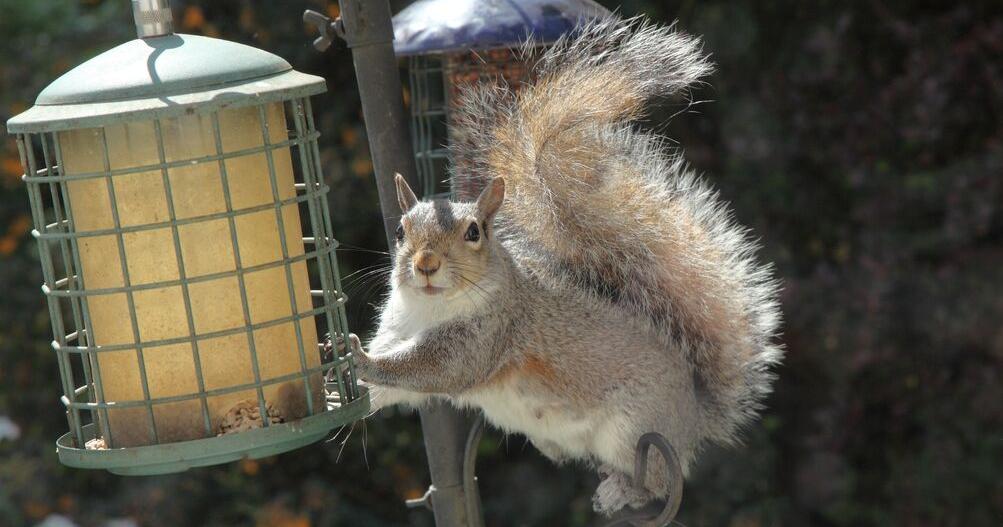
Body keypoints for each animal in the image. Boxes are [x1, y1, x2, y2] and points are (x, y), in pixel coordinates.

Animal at [345, 15, 783, 516]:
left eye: (474, 232)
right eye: (400, 231)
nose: (426, 264)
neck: (428, 307)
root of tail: (693, 416)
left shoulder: (492, 333)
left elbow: (434, 369)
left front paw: (361, 361)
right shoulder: (398, 326)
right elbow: (393, 387)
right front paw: (342, 389)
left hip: (635, 429)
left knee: (656, 482)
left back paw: (621, 491)